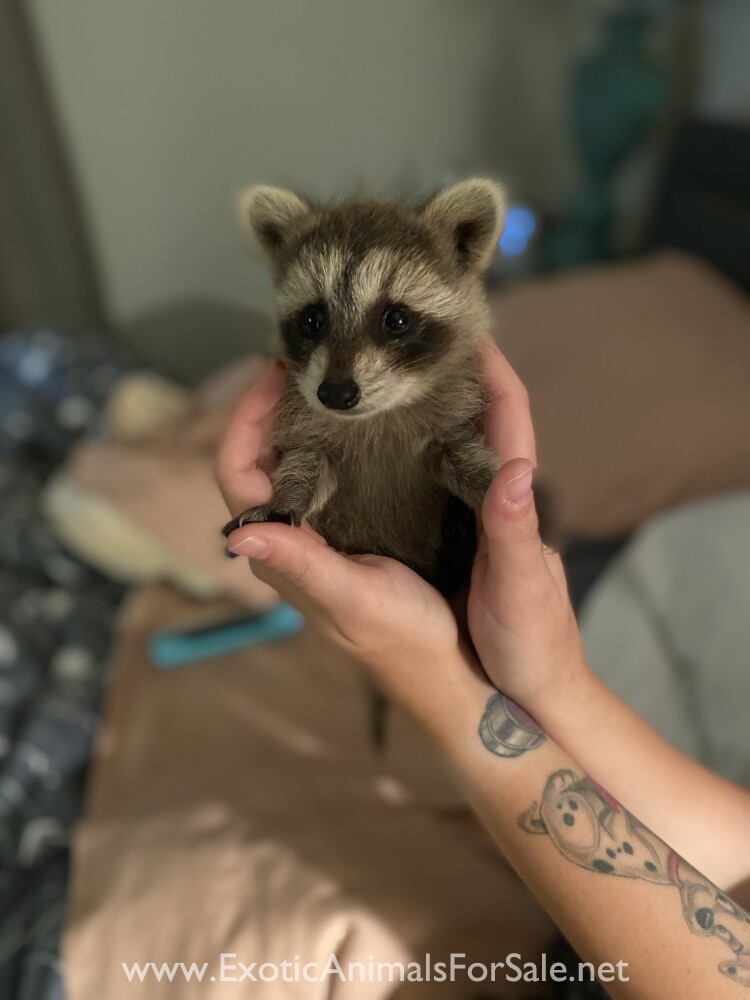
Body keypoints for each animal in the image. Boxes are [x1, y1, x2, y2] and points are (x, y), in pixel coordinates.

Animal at [225, 179, 505, 595]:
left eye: (397, 319)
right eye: (313, 319)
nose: (335, 395)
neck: (376, 416)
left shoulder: (453, 417)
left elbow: (464, 454)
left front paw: (492, 484)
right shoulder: (308, 427)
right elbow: (305, 465)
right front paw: (287, 499)